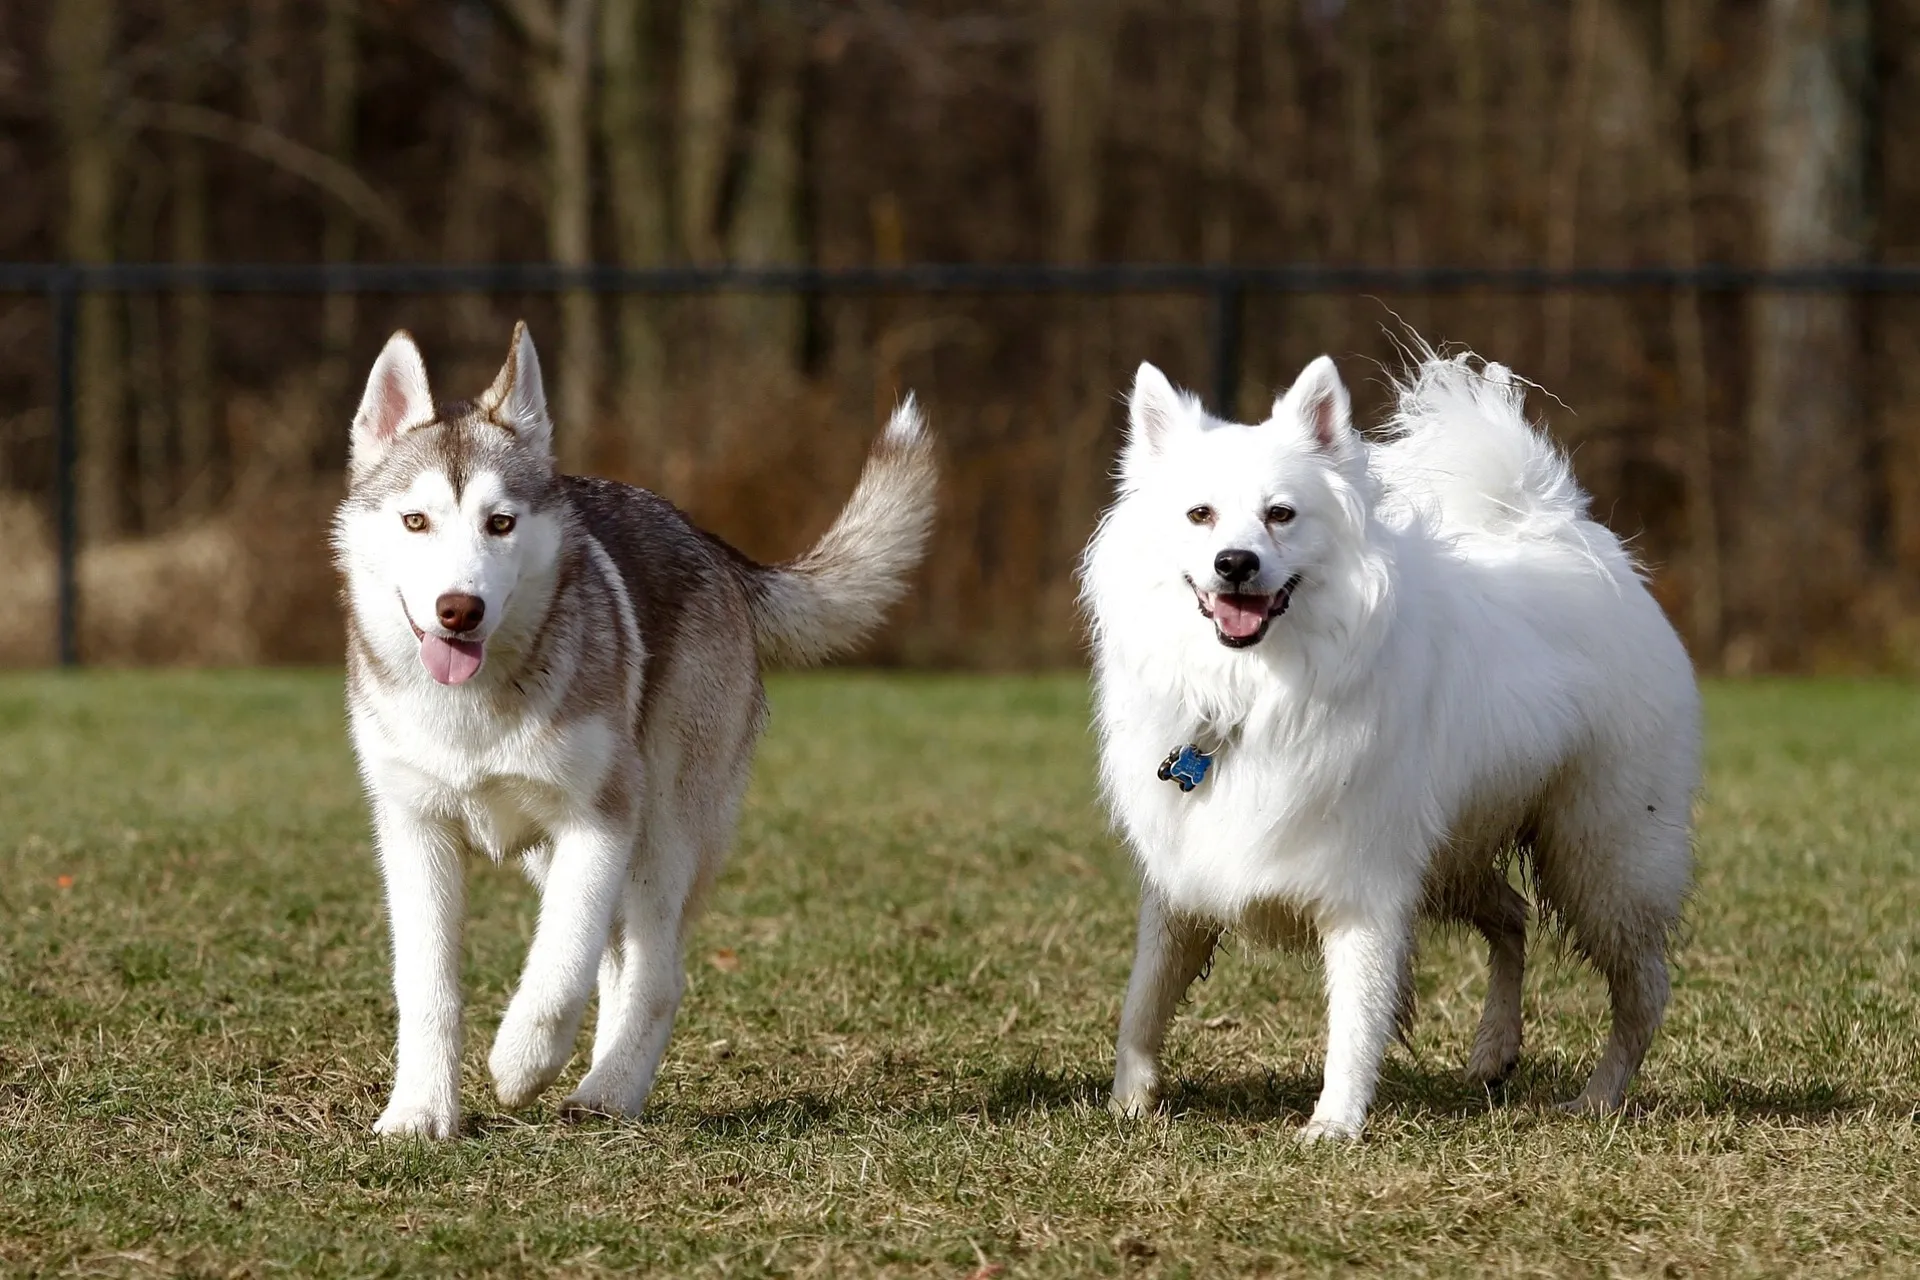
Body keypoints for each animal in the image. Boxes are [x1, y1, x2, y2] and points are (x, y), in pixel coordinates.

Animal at [337, 326, 936, 1136]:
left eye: (501, 523)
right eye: (414, 521)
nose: (459, 609)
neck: (475, 712)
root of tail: (712, 545)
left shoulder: (600, 818)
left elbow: (560, 965)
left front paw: (521, 1061)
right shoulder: (414, 829)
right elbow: (428, 986)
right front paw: (419, 1114)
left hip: (663, 827)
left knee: (655, 971)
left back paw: (610, 1089)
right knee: (622, 959)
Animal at [1082, 347, 1697, 1143]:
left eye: (1281, 514)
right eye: (1200, 514)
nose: (1235, 563)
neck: (1251, 692)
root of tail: (1567, 535)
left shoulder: (1364, 886)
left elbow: (1356, 1012)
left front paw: (1334, 1125)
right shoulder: (1183, 872)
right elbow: (1145, 996)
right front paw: (1129, 1102)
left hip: (1600, 857)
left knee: (1642, 989)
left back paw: (1598, 1097)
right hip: (1459, 853)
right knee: (1512, 917)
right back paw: (1494, 1050)